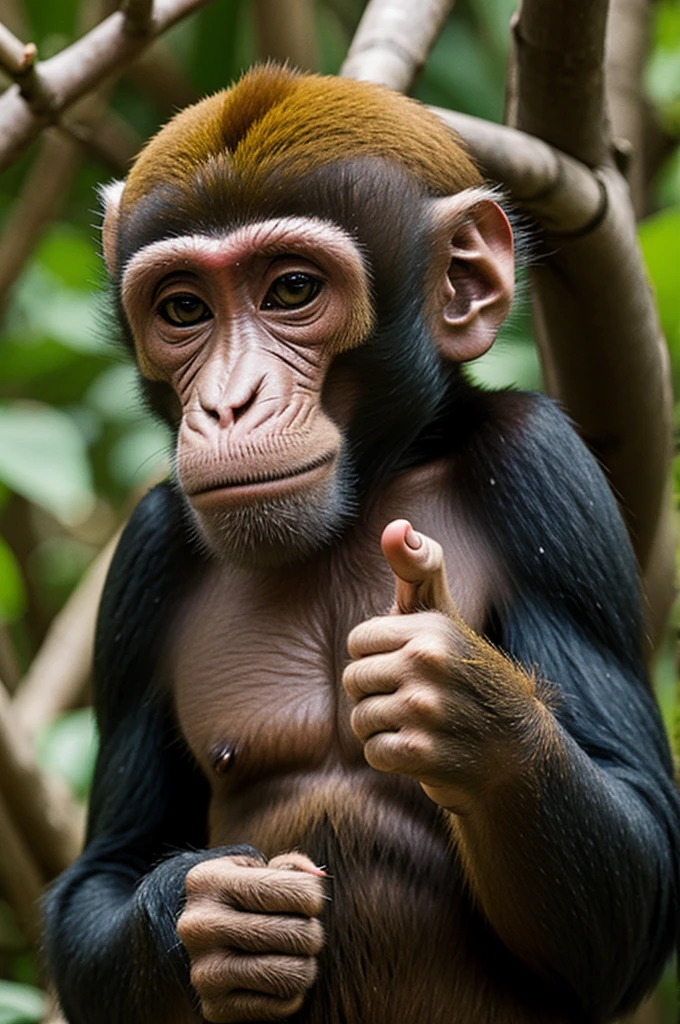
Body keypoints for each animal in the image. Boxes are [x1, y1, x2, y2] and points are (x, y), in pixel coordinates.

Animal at [43, 64, 680, 1024]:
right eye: (184, 308)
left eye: (291, 291)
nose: (228, 403)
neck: (367, 489)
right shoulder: (143, 561)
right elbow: (110, 862)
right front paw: (208, 917)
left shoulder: (548, 479)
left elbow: (643, 860)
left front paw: (470, 703)